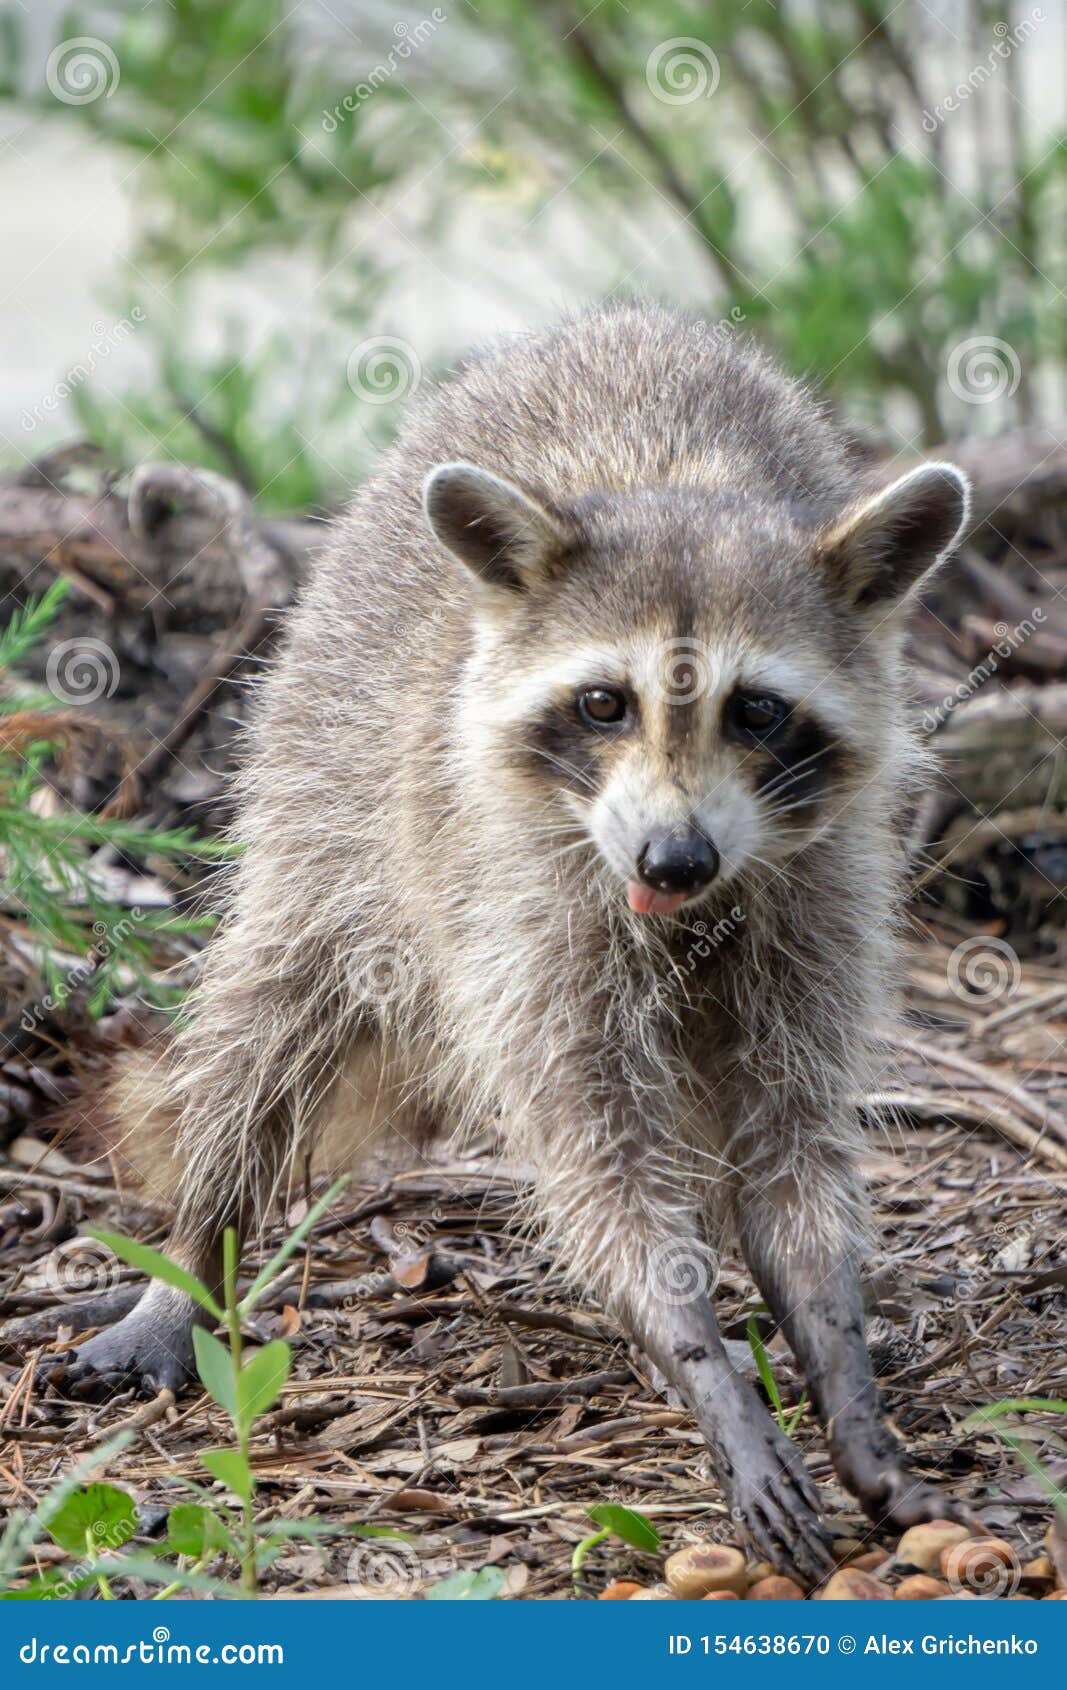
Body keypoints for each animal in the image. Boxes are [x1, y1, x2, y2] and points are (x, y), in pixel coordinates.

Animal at [58, 304, 972, 1579]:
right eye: (601, 704)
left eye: (754, 710)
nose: (673, 860)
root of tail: (617, 321)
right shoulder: (524, 909)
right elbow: (597, 1162)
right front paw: (703, 1365)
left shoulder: (817, 897)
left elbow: (789, 1149)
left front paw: (838, 1362)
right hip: (324, 756)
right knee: (268, 1011)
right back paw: (197, 1250)